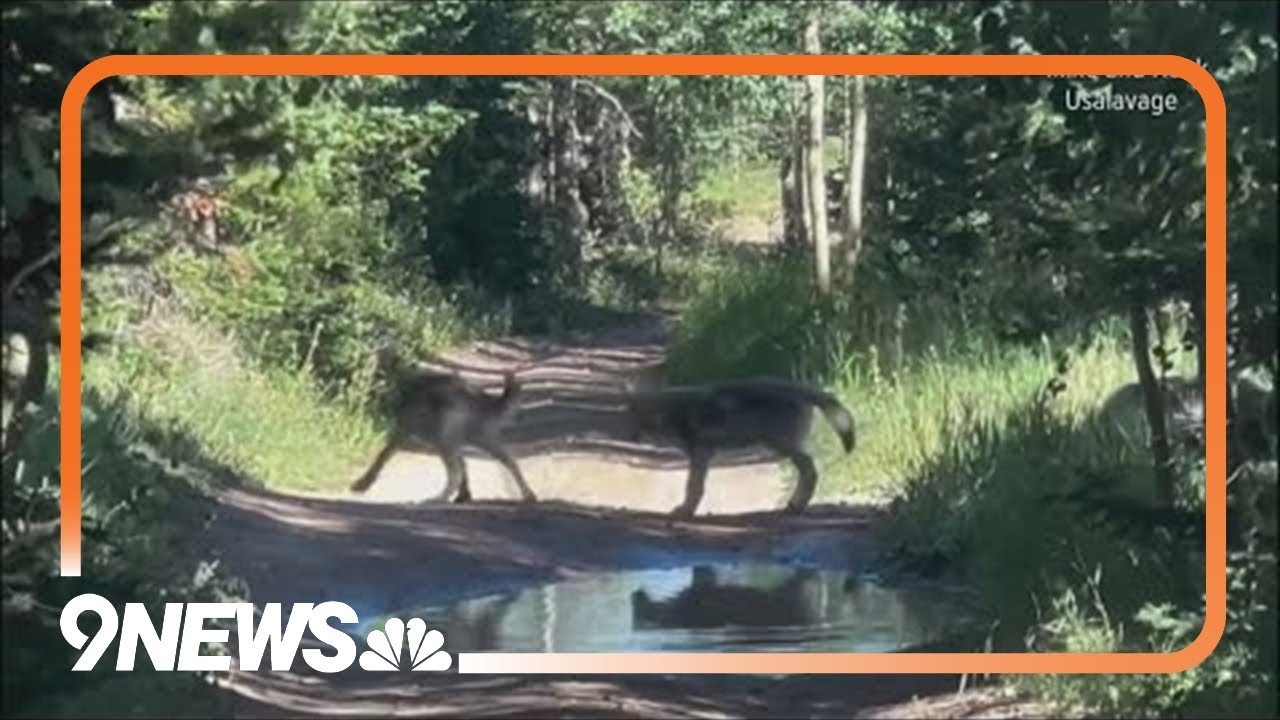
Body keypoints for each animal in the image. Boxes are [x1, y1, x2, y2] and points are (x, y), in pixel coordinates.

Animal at [349, 368, 537, 504]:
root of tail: (473, 393)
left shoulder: (403, 431)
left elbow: (382, 456)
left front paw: (362, 483)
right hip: (477, 438)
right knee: (508, 461)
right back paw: (527, 494)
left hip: (445, 438)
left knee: (456, 471)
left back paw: (439, 498)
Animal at [621, 374, 856, 518]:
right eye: (631, 421)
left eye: (640, 425)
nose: (630, 437)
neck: (677, 413)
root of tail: (801, 388)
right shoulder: (703, 454)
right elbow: (695, 486)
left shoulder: (700, 452)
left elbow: (693, 487)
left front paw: (685, 511)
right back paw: (795, 505)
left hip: (780, 445)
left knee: (810, 470)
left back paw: (795, 506)